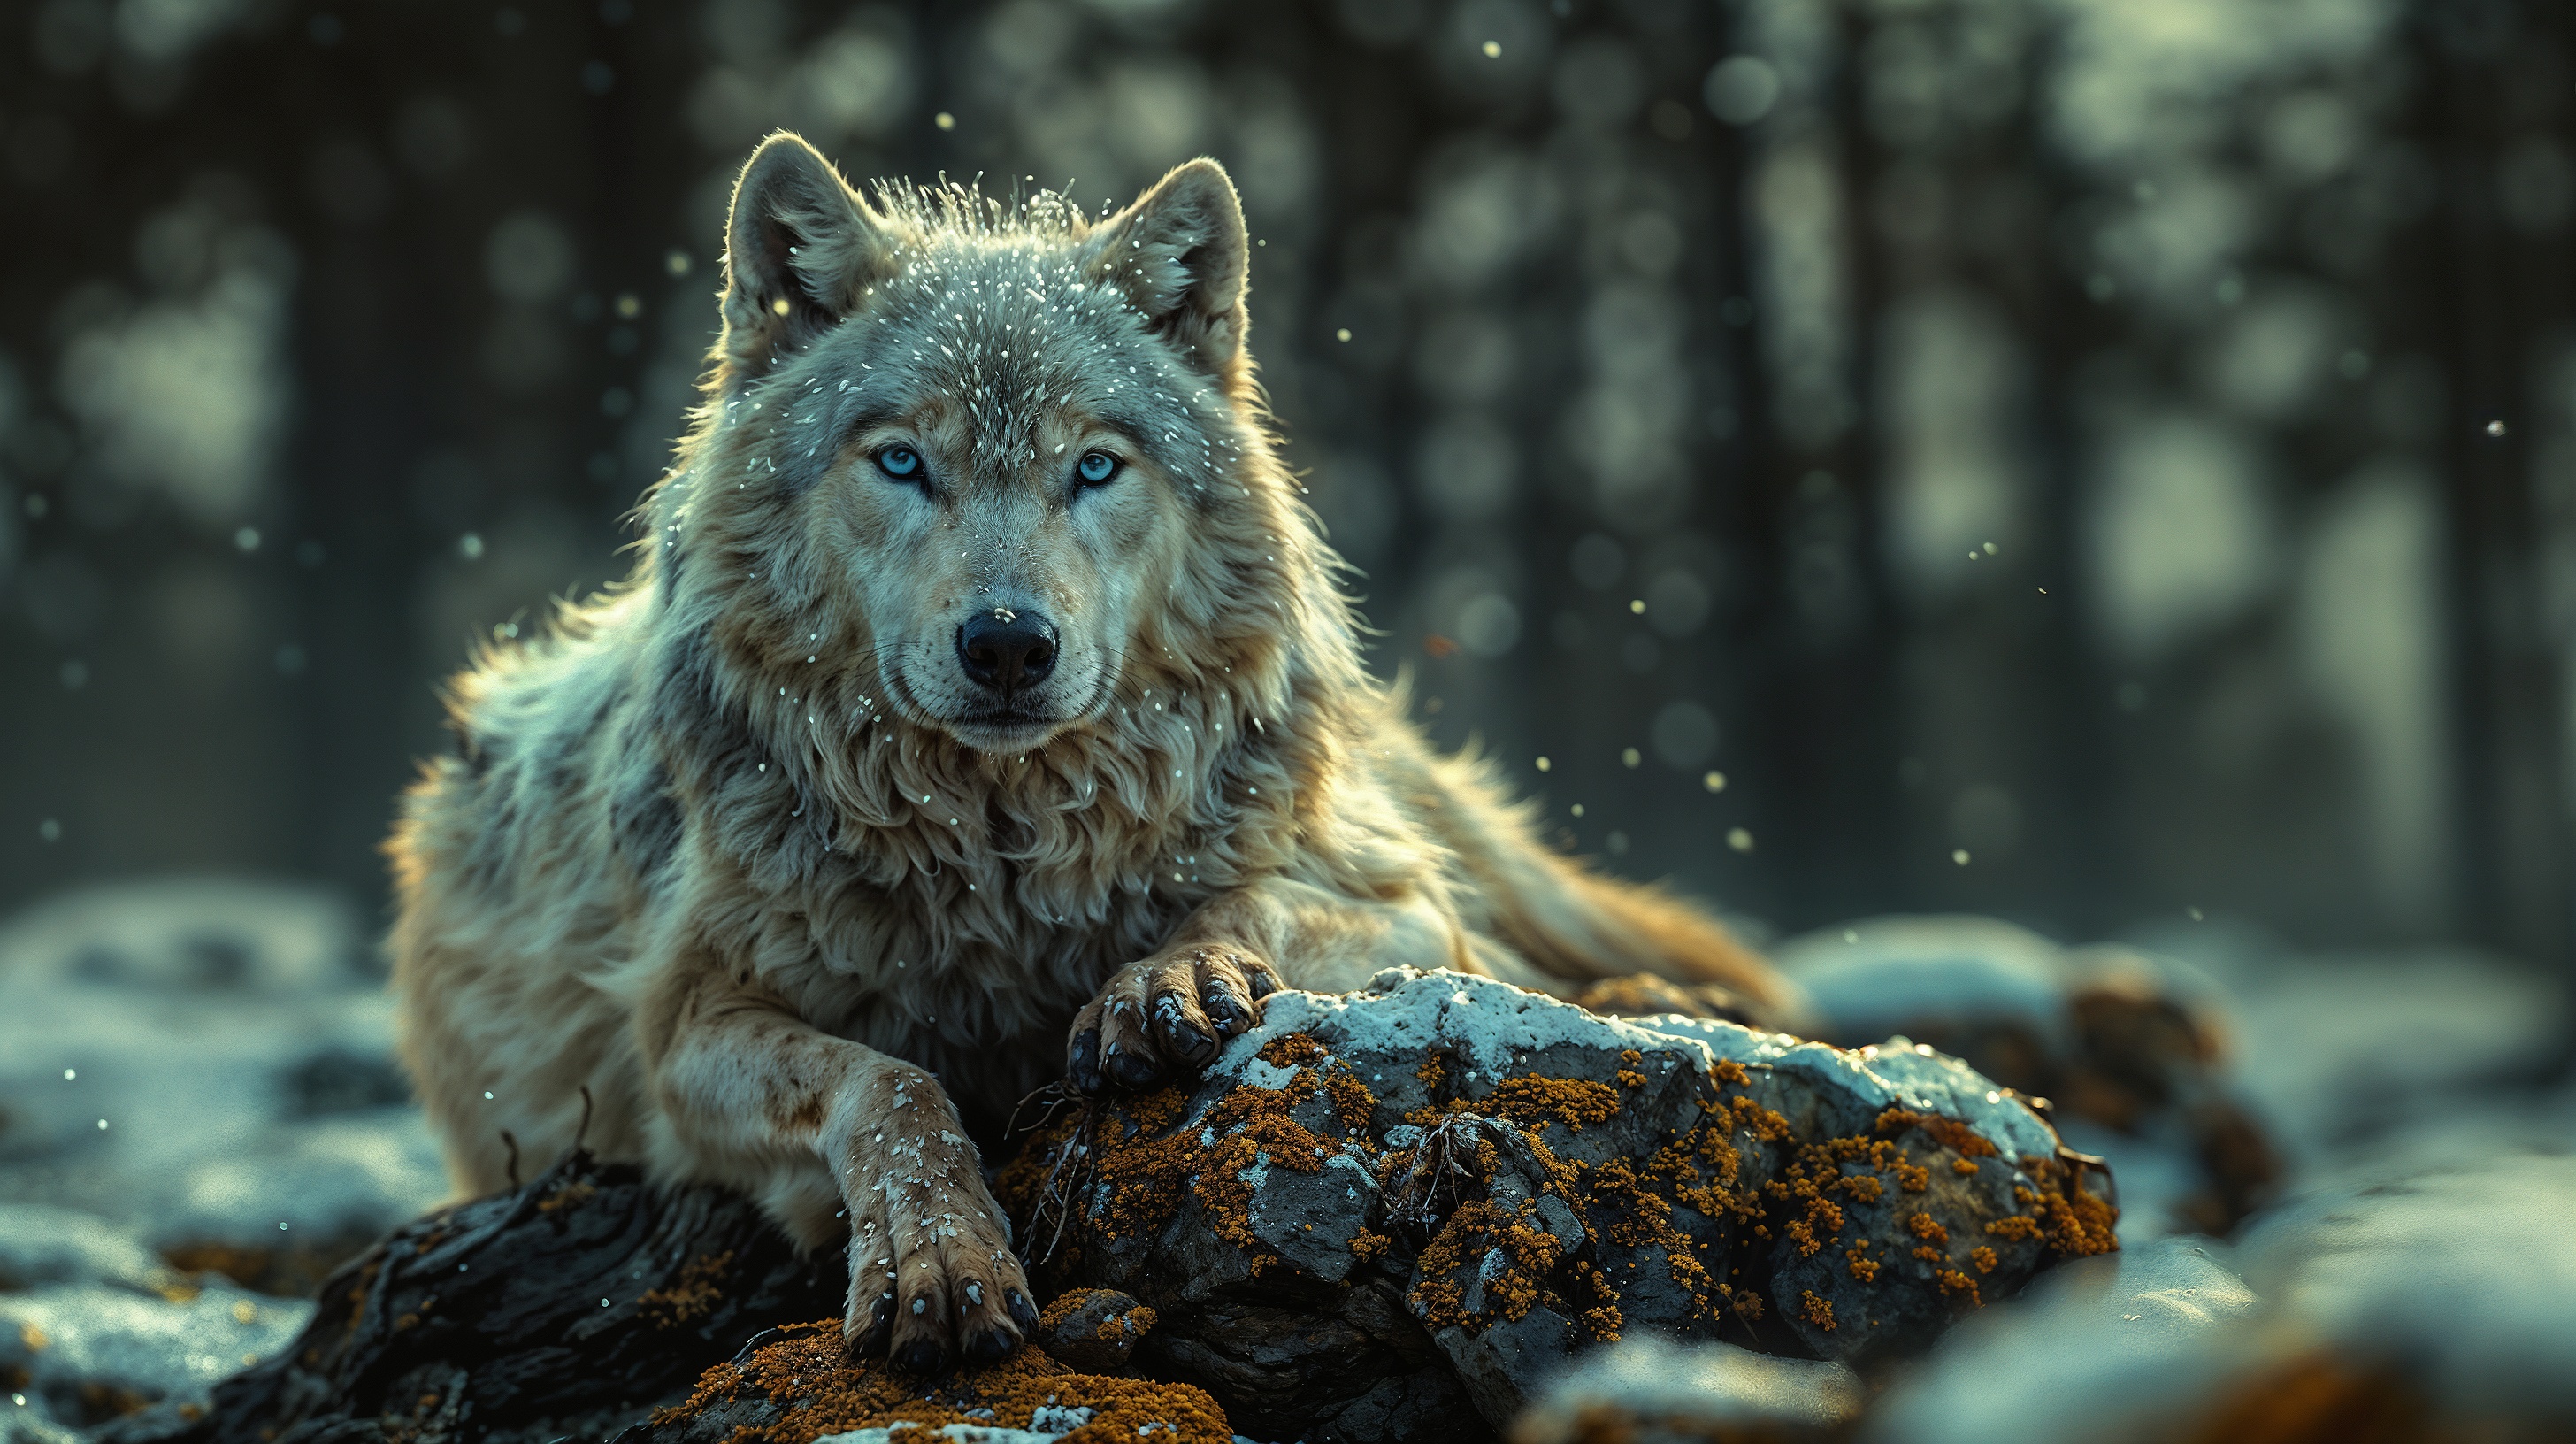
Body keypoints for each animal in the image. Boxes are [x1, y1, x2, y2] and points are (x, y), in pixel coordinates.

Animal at [386, 132, 1790, 1375]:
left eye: (1095, 467)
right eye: (903, 462)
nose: (1009, 643)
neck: (1003, 856)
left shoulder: (1397, 906)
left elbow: (1247, 902)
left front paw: (1165, 982)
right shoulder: (675, 1046)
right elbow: (888, 1083)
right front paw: (938, 1260)